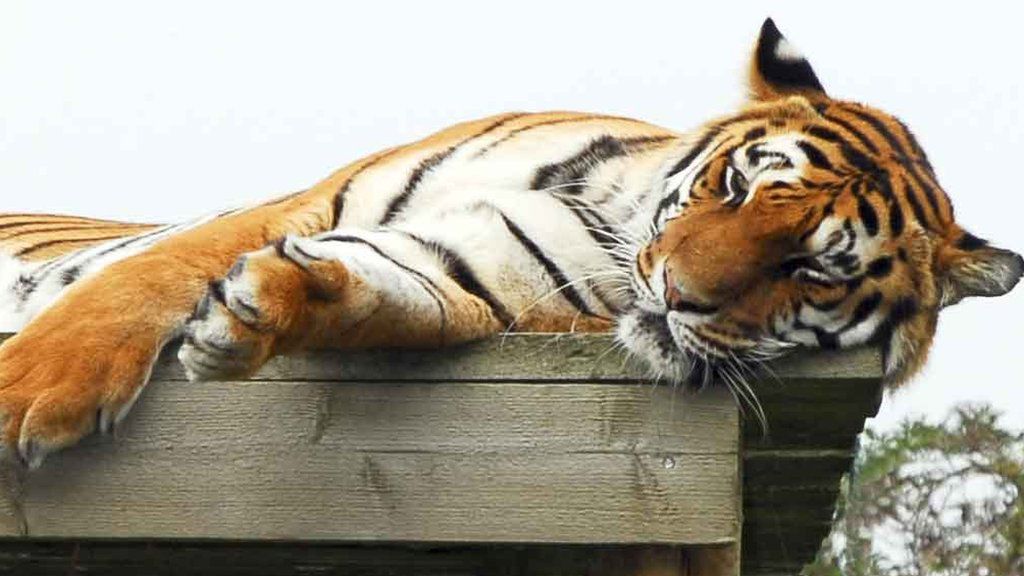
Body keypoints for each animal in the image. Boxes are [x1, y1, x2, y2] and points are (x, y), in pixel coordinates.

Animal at [0, 19, 1020, 469]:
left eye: (809, 266)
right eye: (737, 186)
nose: (677, 292)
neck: (613, 216)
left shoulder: (476, 280)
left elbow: (389, 293)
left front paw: (267, 310)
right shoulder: (320, 198)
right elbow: (147, 274)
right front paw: (31, 390)